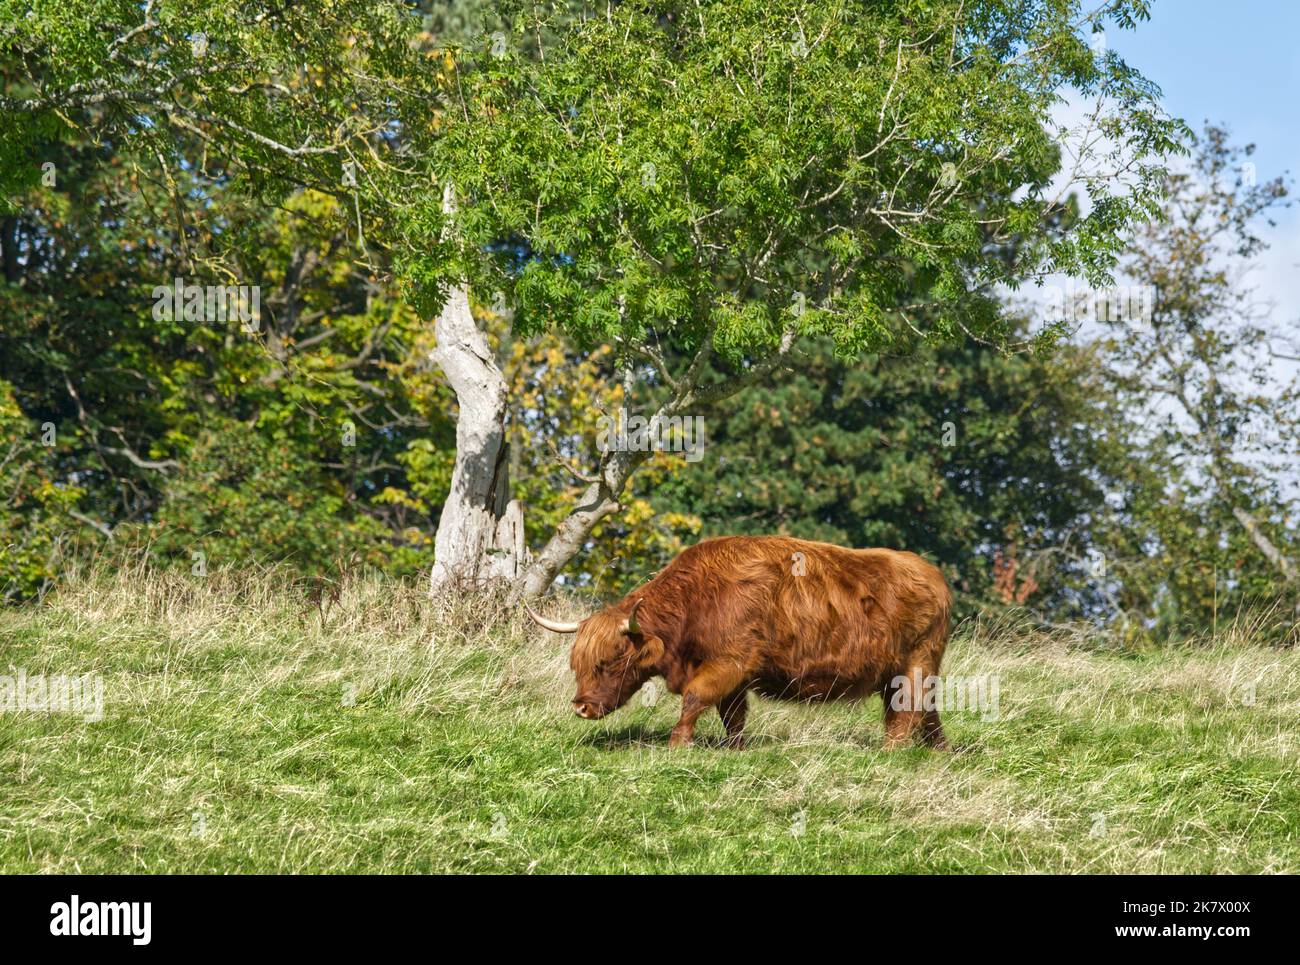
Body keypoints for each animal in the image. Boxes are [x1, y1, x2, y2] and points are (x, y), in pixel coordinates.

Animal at [524, 535, 952, 750]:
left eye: (610, 662)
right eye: (577, 664)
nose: (582, 707)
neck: (697, 598)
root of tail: (930, 572)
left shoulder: (730, 663)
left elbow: (695, 698)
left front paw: (678, 744)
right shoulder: (735, 677)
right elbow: (732, 715)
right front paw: (735, 748)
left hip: (916, 663)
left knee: (909, 711)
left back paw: (891, 752)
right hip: (899, 672)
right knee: (922, 711)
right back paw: (938, 750)